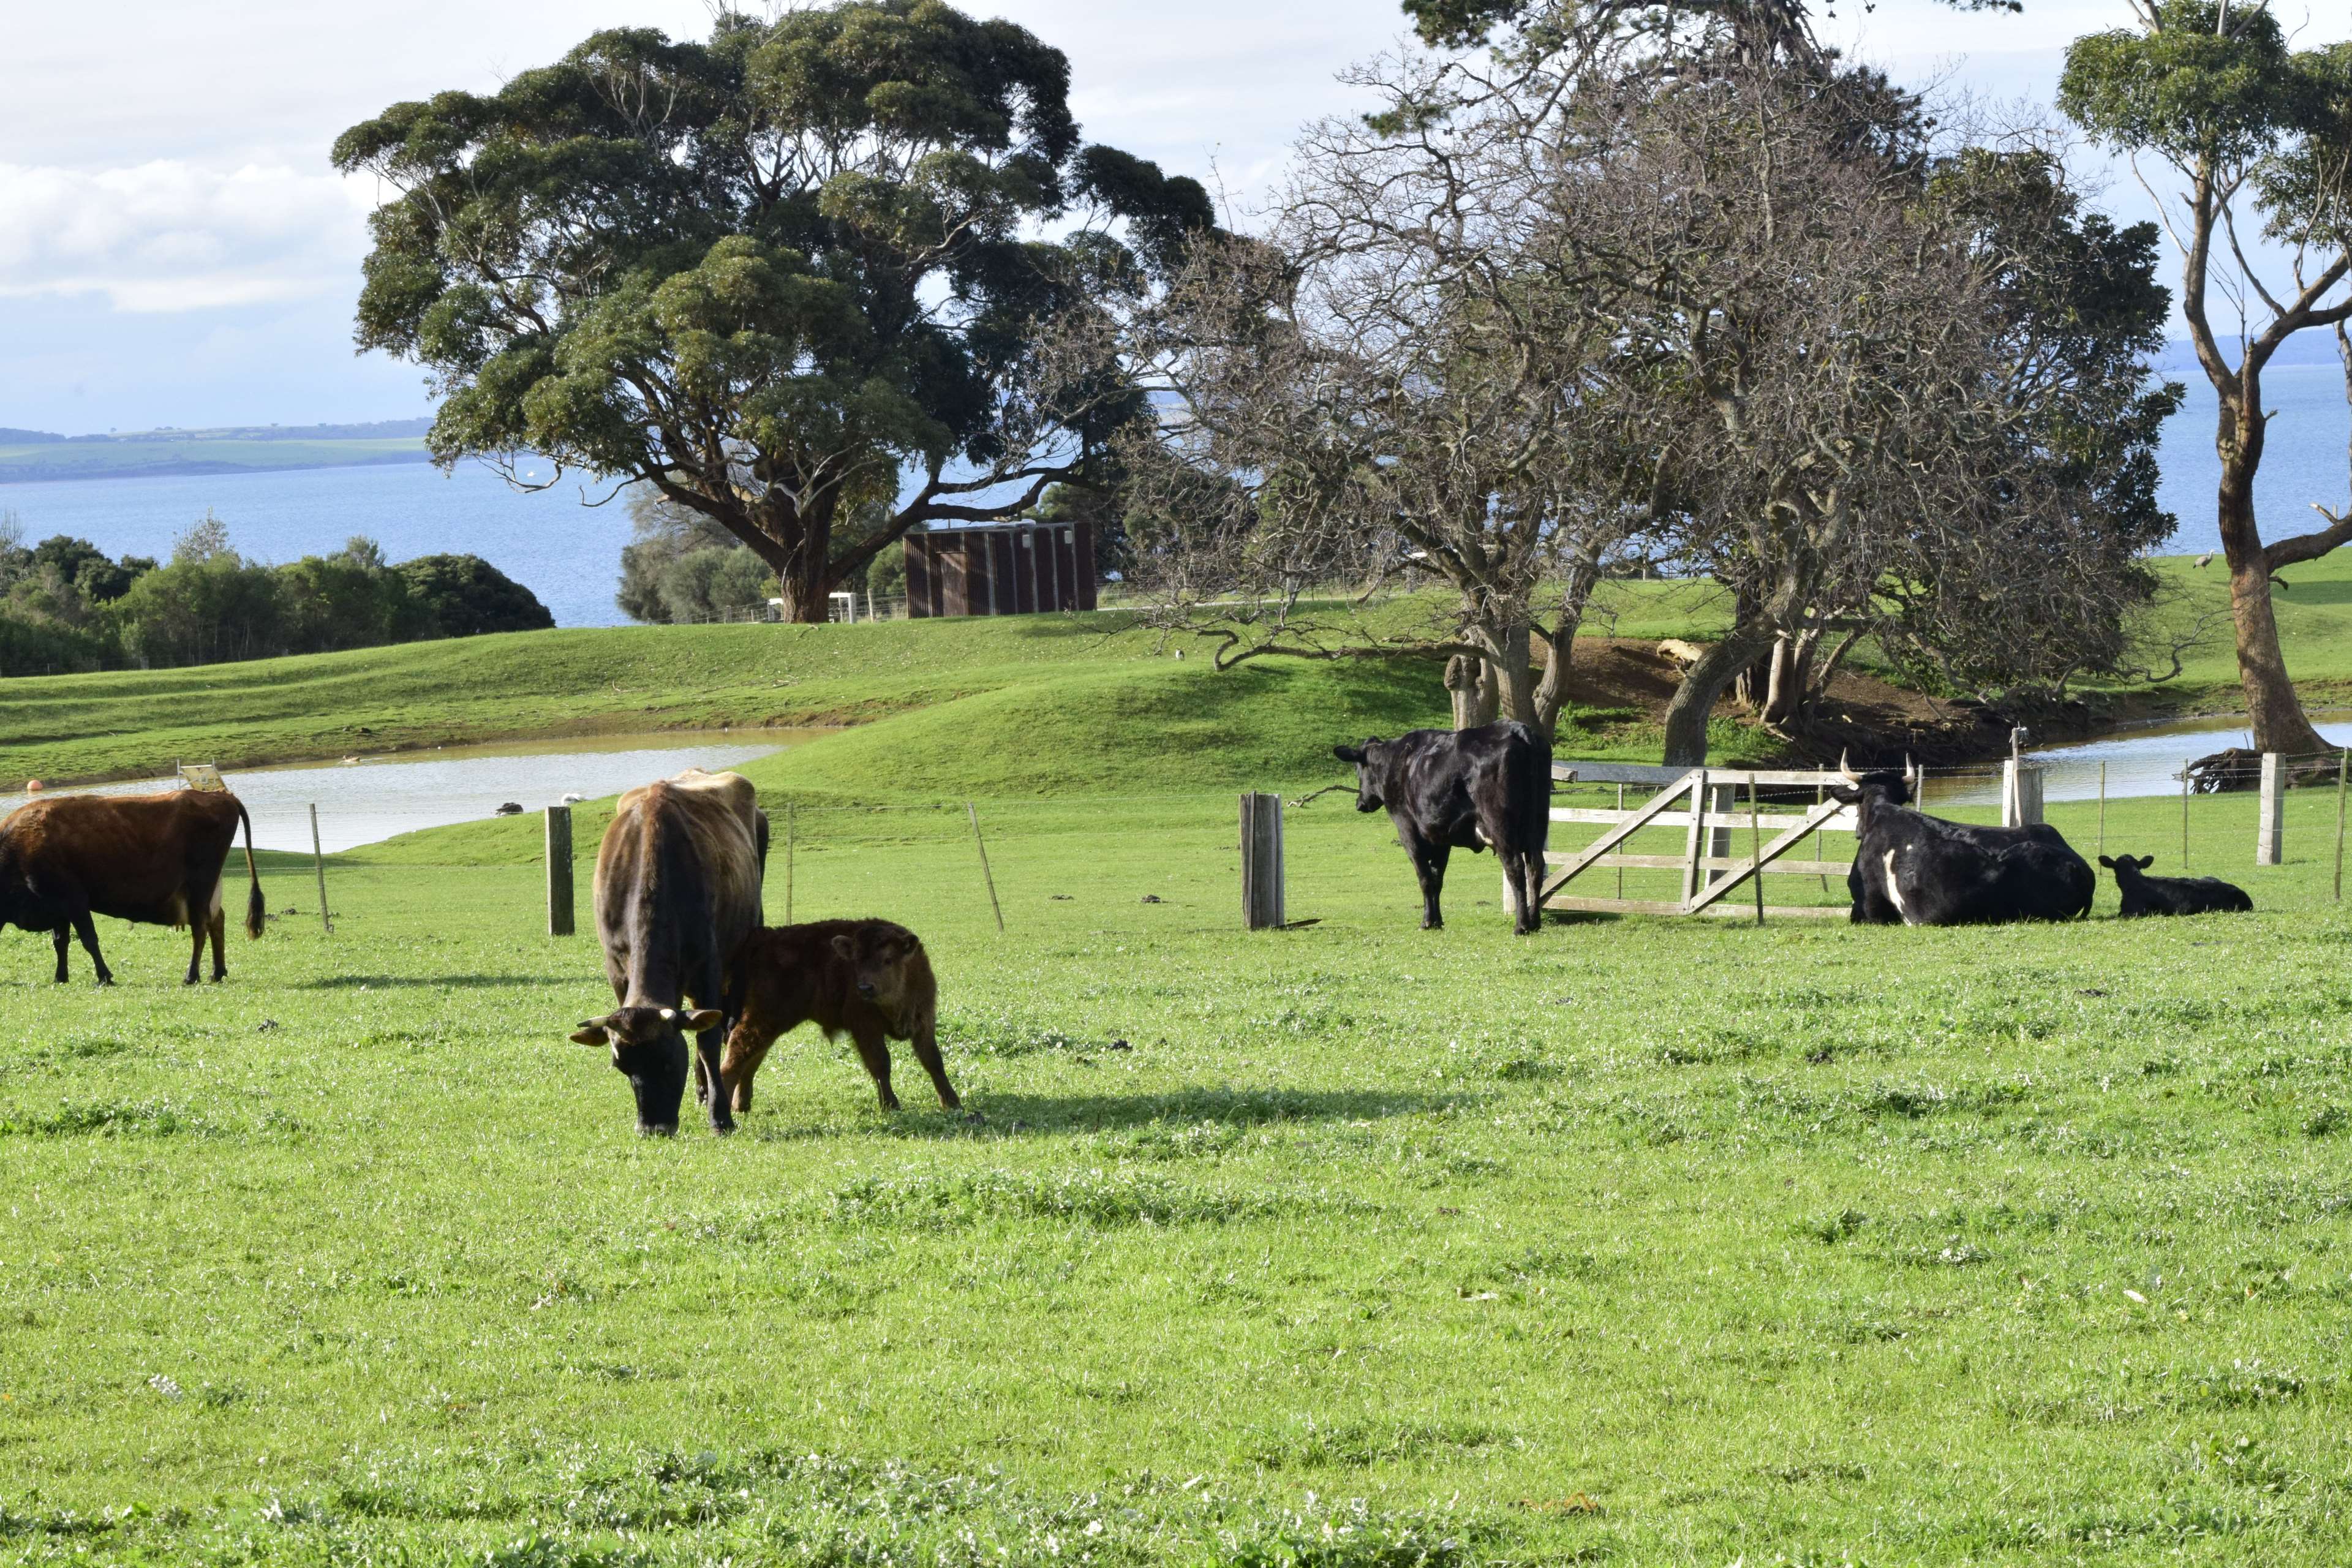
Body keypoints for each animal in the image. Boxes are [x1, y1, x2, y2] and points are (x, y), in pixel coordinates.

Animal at [0, 789, 263, 985]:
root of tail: (220, 795)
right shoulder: (58, 908)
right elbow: (60, 942)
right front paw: (60, 977)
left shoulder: (74, 900)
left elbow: (88, 939)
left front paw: (104, 977)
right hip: (205, 893)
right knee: (216, 921)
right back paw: (217, 973)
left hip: (200, 887)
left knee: (200, 929)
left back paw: (191, 976)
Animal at [568, 769, 767, 1136]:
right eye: (622, 1067)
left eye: (670, 1060)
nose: (653, 1128)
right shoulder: (617, 969)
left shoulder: (707, 968)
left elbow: (707, 1042)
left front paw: (721, 1117)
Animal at [719, 919, 959, 1114]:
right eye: (856, 961)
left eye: (888, 959)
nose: (864, 987)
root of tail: (766, 938)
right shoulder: (866, 1029)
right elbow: (881, 1064)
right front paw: (891, 1105)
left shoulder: (924, 1022)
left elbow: (933, 1061)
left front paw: (952, 1103)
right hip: (762, 1019)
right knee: (737, 1056)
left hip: (769, 1024)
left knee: (751, 1059)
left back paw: (741, 1105)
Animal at [1334, 722, 1552, 935]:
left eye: (1358, 770)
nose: (1360, 804)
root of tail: (1517, 728)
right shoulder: (1440, 837)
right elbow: (1437, 878)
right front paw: (1437, 921)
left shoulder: (1408, 830)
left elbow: (1425, 878)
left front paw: (1427, 922)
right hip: (1539, 824)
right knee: (1535, 868)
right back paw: (1535, 922)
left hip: (1500, 825)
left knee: (1515, 867)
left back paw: (1521, 926)